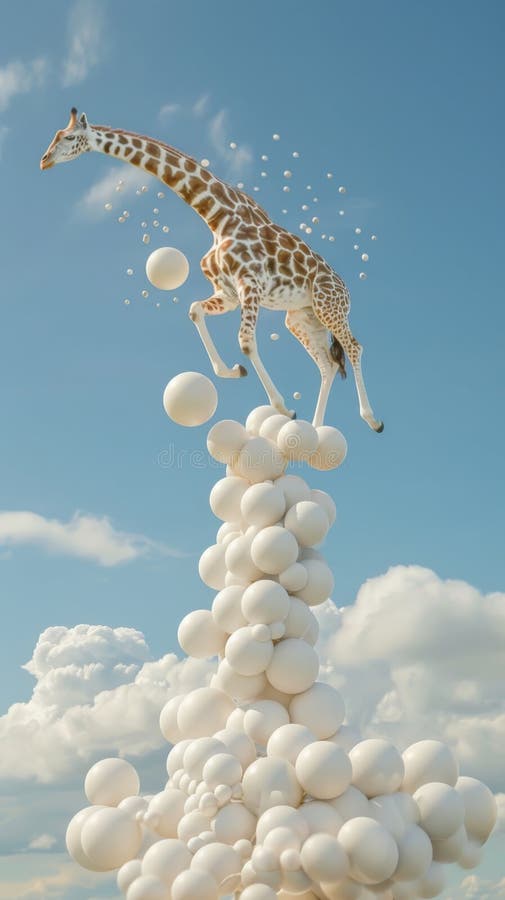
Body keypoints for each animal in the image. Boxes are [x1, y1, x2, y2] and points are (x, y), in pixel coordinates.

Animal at [40, 109, 383, 432]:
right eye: (55, 134)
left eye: (69, 138)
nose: (44, 160)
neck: (217, 216)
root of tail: (344, 288)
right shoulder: (229, 293)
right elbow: (195, 310)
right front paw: (234, 371)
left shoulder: (250, 284)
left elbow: (245, 341)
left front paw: (284, 408)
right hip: (300, 318)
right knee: (327, 365)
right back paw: (316, 430)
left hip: (328, 306)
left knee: (353, 347)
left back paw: (372, 420)